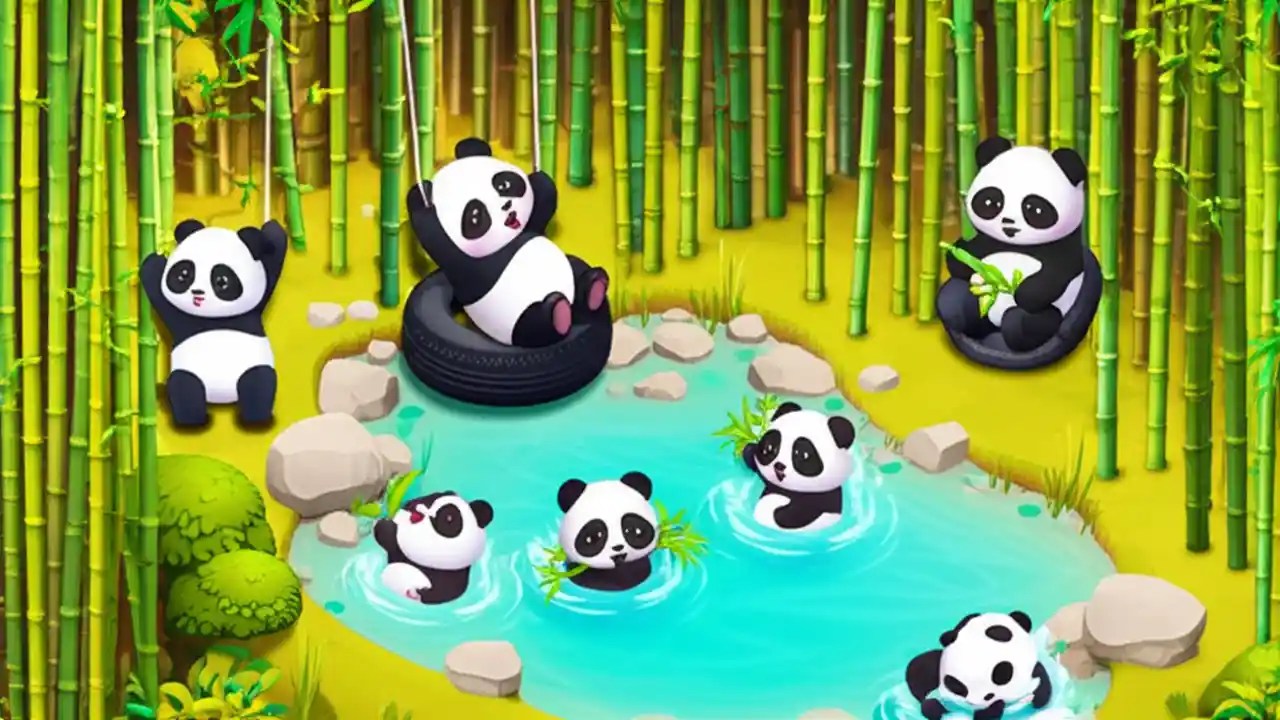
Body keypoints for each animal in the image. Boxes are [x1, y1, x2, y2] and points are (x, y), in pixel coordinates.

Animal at [140, 218, 287, 428]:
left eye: (222, 281)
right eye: (184, 274)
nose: (197, 293)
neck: (214, 319)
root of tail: (220, 397)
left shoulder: (256, 304)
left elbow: (273, 262)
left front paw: (271, 228)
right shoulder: (179, 317)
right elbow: (155, 286)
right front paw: (154, 260)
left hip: (252, 369)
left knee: (259, 383)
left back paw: (256, 421)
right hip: (188, 374)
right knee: (184, 388)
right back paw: (192, 423)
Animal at [405, 137, 610, 347]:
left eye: (504, 185)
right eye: (475, 216)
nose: (506, 205)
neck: (506, 243)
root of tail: (568, 299)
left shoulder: (531, 225)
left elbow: (542, 206)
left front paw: (540, 180)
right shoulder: (464, 265)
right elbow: (436, 240)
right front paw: (419, 200)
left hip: (568, 272)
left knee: (577, 269)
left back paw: (593, 287)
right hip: (513, 322)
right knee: (533, 326)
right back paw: (557, 314)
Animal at [740, 402, 856, 532]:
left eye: (803, 455)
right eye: (770, 448)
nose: (779, 466)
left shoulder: (823, 498)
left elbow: (794, 515)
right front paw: (749, 450)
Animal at [936, 136, 1096, 355]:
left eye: (1035, 209)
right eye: (990, 202)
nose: (1008, 222)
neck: (1021, 245)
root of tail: (995, 324)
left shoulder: (1064, 251)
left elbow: (1052, 277)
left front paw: (1023, 292)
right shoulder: (989, 242)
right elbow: (966, 258)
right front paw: (956, 250)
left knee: (1023, 323)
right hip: (980, 301)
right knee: (955, 300)